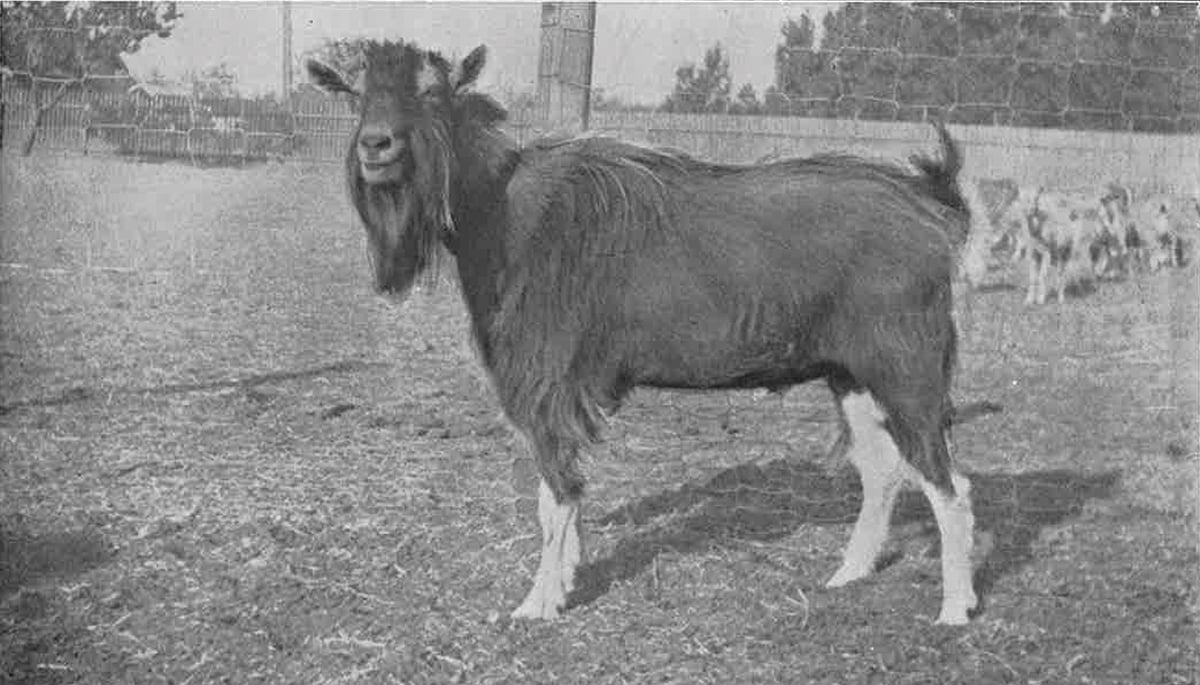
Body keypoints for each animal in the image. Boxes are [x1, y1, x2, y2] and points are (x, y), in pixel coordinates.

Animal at [308, 40, 984, 625]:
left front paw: (539, 602)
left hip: (908, 368)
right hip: (852, 375)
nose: (376, 145)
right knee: (883, 470)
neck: (500, 212)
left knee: (949, 486)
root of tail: (930, 204)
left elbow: (556, 494)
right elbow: (558, 496)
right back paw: (849, 574)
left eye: (434, 91)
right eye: (355, 94)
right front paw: (568, 577)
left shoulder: (546, 383)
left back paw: (954, 610)